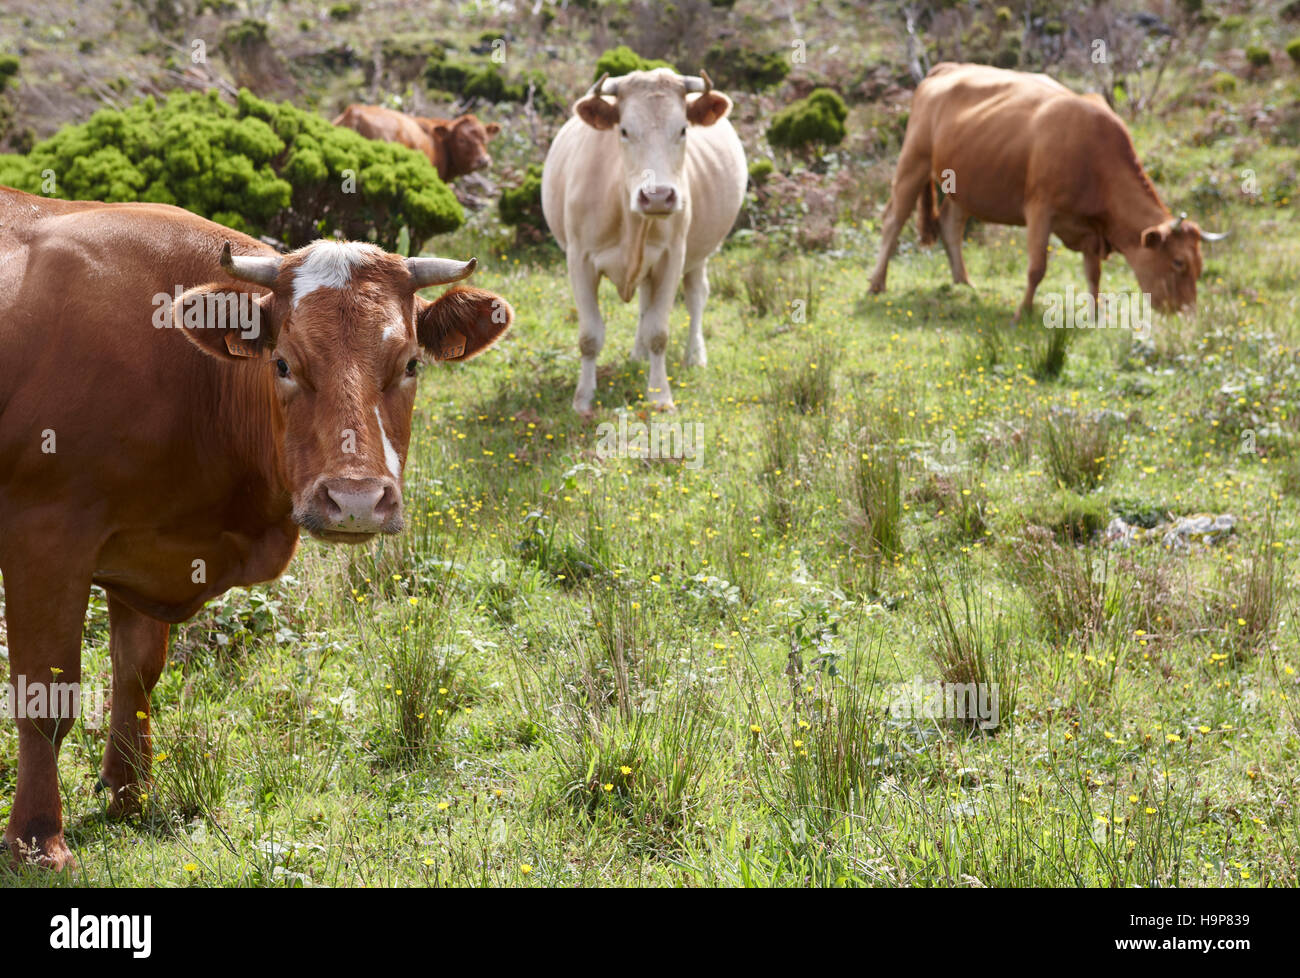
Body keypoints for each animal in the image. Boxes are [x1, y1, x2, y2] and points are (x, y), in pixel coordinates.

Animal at [0, 186, 513, 869]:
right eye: (283, 363)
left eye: (410, 364)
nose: (356, 499)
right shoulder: (45, 537)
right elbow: (45, 697)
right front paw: (37, 840)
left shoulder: (141, 548)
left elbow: (137, 673)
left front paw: (130, 798)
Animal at [541, 68, 746, 416]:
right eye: (624, 130)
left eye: (683, 129)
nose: (658, 196)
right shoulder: (579, 260)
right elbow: (590, 336)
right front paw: (583, 399)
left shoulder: (672, 257)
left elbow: (658, 332)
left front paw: (660, 395)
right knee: (644, 302)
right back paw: (637, 356)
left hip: (699, 254)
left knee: (696, 296)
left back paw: (695, 356)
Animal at [868, 63, 1225, 319]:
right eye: (1178, 262)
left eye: (1199, 265)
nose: (1188, 316)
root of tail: (945, 67)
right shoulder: (1040, 208)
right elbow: (1037, 267)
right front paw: (1022, 312)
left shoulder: (1091, 230)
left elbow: (1093, 273)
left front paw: (1095, 315)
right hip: (913, 160)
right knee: (893, 220)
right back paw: (876, 284)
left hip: (963, 183)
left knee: (950, 224)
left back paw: (964, 285)